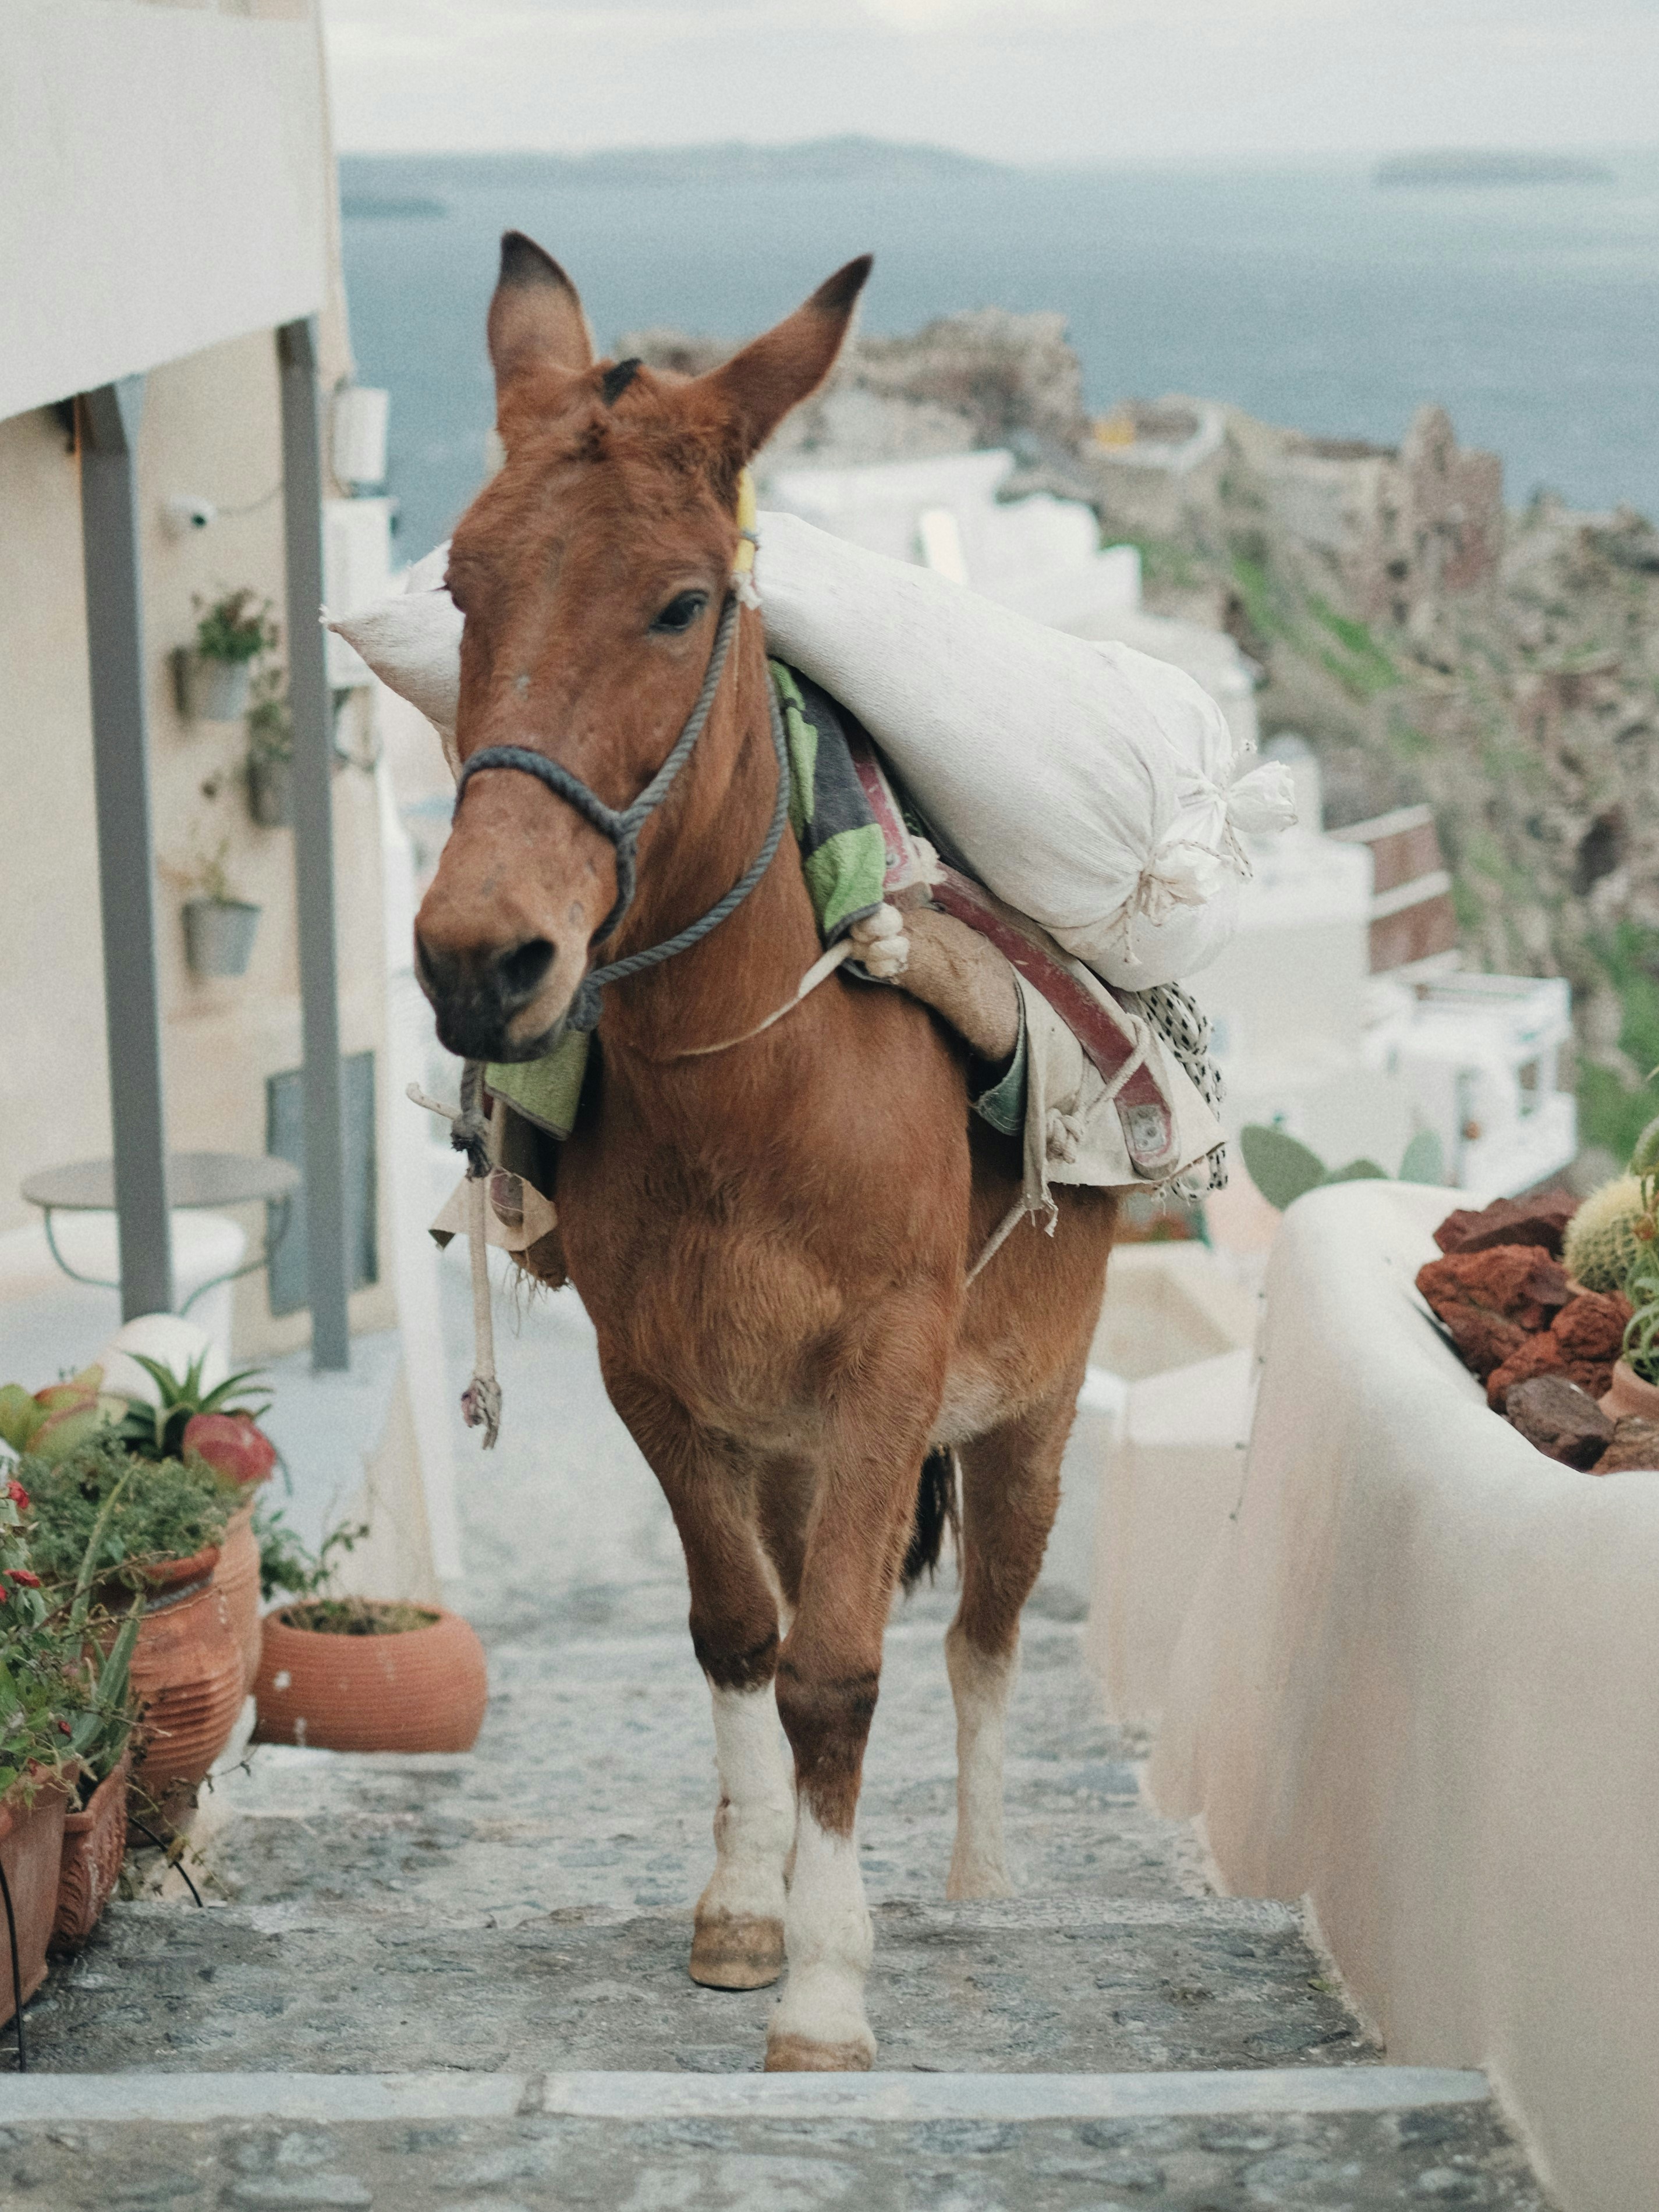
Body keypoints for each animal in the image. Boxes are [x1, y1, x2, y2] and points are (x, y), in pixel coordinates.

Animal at [414, 232, 1118, 2072]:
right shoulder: (658, 1378)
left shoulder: (892, 1364)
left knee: (985, 1631)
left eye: (679, 604)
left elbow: (844, 1670)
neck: (751, 1084)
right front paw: (749, 1913)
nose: (477, 962)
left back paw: (980, 1880)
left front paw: (826, 1986)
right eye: (459, 592)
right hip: (791, 1441)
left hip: (1027, 1408)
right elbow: (743, 1634)